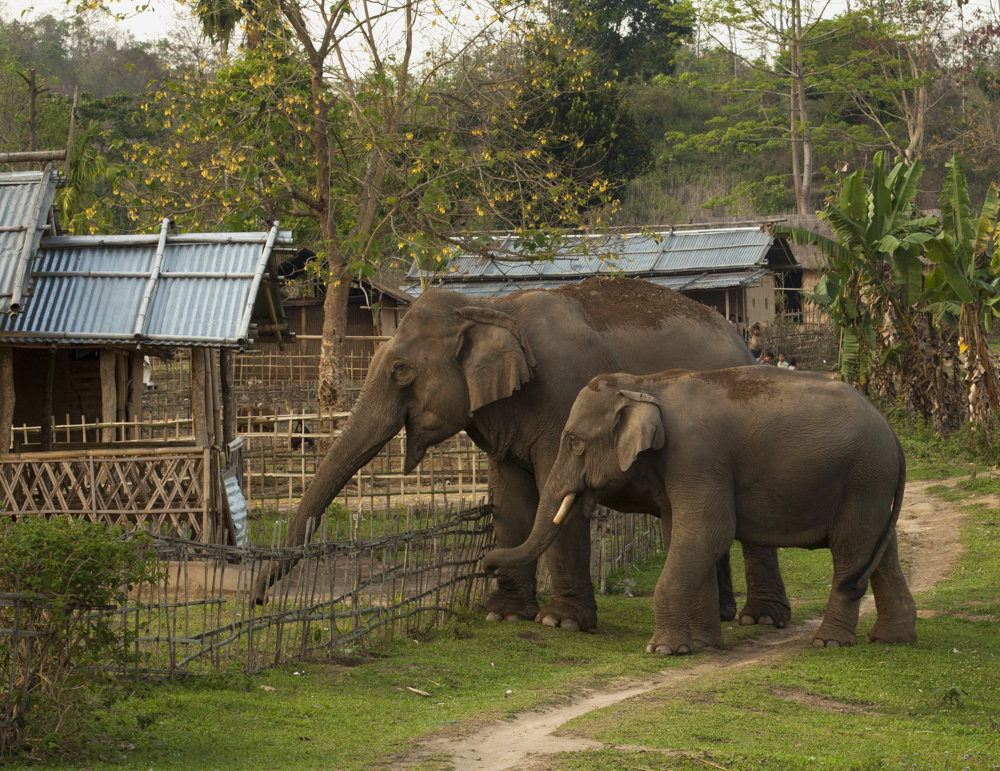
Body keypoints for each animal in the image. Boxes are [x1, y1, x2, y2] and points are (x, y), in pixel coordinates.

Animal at [253, 277, 791, 632]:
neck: (489, 307)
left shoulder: (567, 395)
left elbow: (559, 501)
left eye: (400, 371)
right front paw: (505, 614)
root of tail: (741, 339)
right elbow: (510, 498)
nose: (258, 599)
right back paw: (725, 615)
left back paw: (761, 619)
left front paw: (560, 623)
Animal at [483, 366, 918, 652]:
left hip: (863, 479)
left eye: (573, 442)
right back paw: (891, 639)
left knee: (850, 552)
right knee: (880, 553)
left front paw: (662, 650)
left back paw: (829, 643)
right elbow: (685, 535)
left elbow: (708, 531)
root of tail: (894, 435)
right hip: (874, 486)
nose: (487, 564)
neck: (646, 385)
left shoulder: (697, 456)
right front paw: (704, 645)